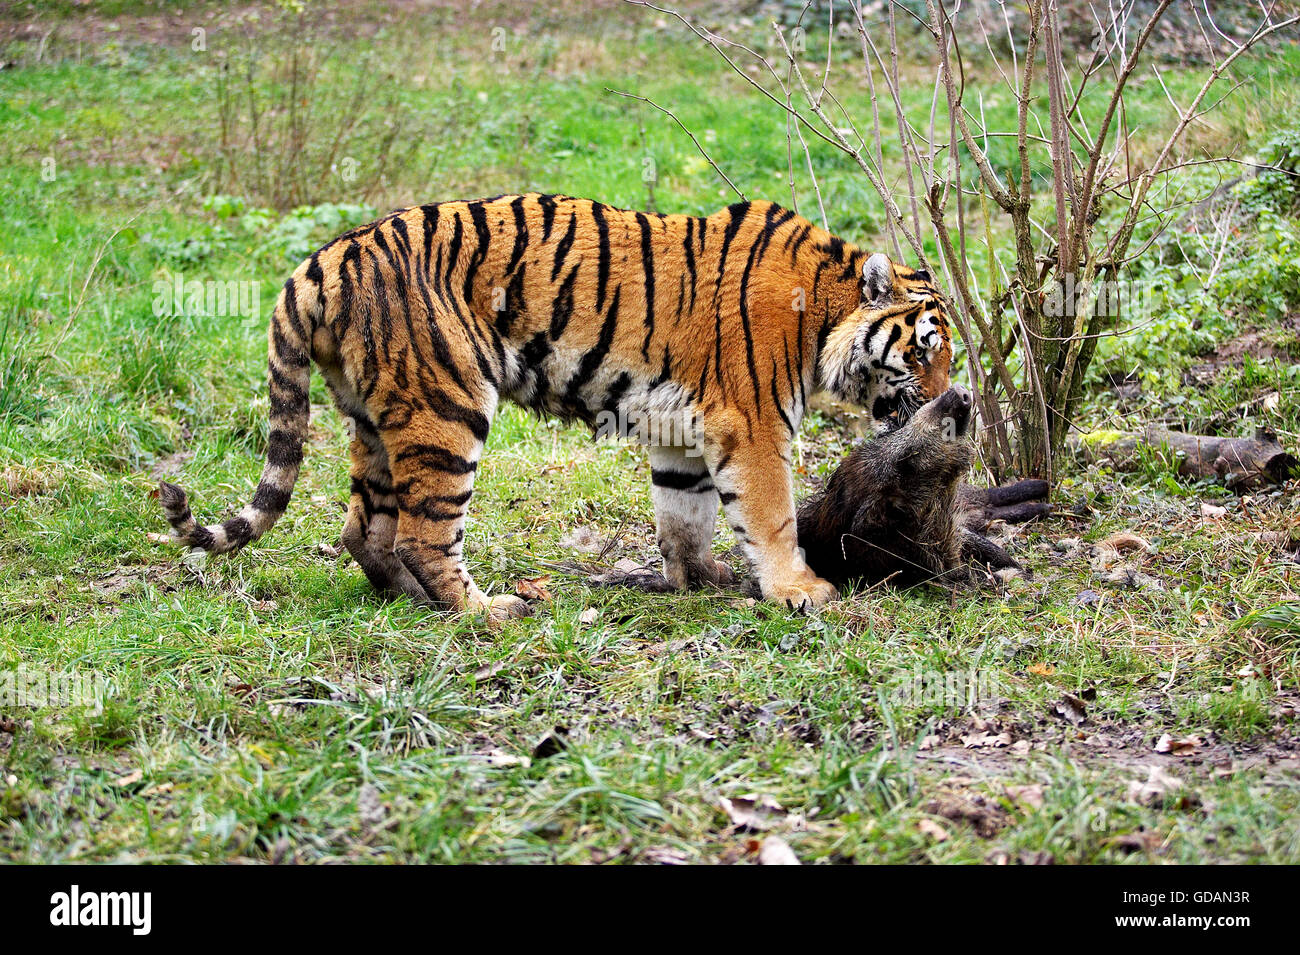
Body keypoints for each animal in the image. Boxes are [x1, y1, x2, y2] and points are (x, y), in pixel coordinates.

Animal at [158, 194, 952, 621]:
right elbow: (771, 514)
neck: (825, 311)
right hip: (448, 405)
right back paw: (486, 611)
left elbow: (685, 514)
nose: (948, 396)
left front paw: (702, 579)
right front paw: (800, 591)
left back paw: (407, 598)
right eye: (922, 352)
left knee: (365, 528)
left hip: (376, 417)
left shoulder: (682, 432)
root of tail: (324, 258)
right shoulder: (752, 426)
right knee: (424, 532)